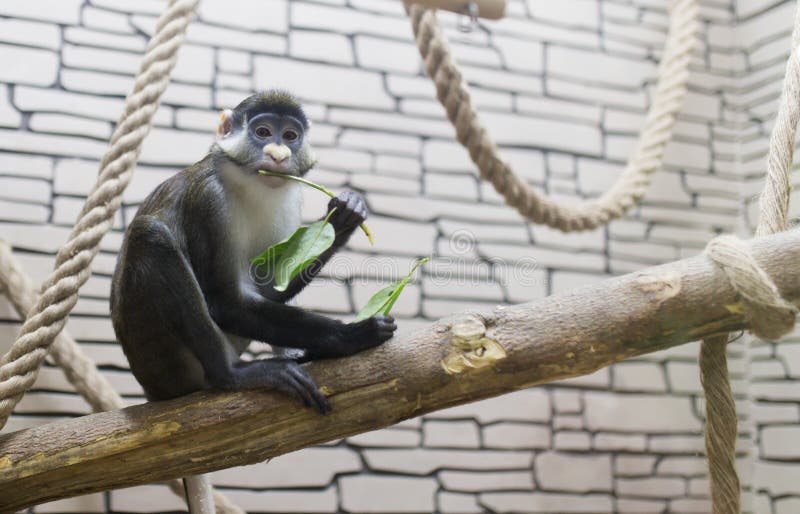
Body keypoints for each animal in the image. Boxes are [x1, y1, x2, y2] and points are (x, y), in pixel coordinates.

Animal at [110, 90, 397, 415]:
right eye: (263, 132)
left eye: (290, 136)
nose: (279, 155)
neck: (248, 184)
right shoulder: (208, 199)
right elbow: (226, 302)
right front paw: (352, 335)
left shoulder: (290, 201)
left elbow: (270, 291)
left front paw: (344, 215)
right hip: (170, 366)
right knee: (150, 234)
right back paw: (231, 374)